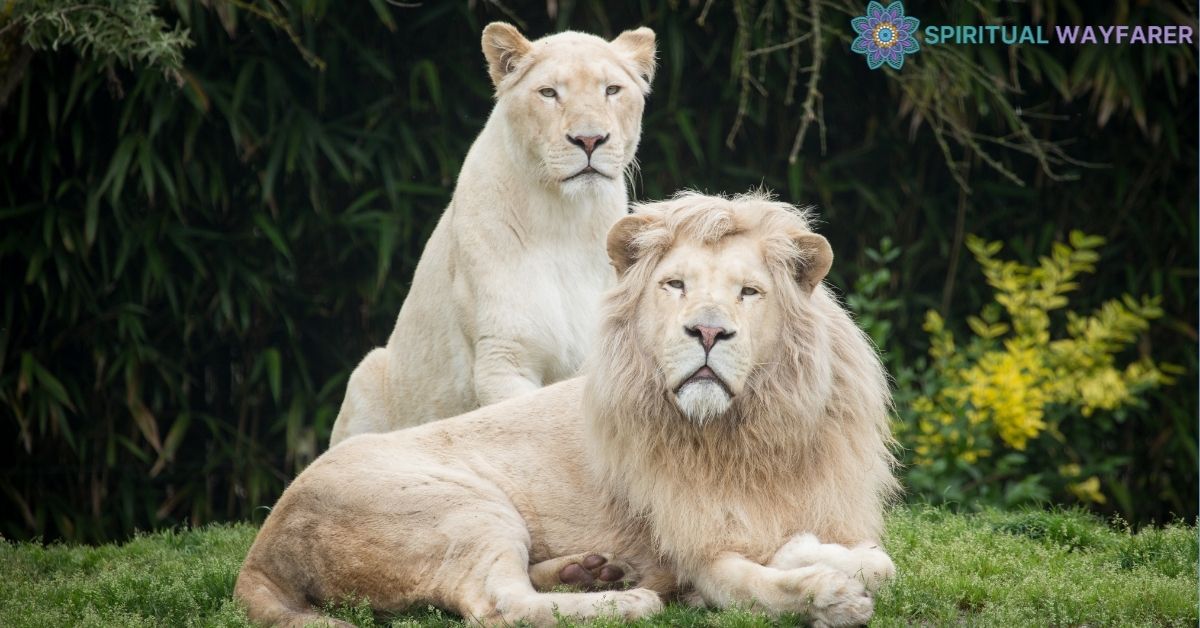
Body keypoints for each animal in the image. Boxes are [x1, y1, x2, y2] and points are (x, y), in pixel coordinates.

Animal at [236, 192, 899, 627]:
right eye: (675, 285)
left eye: (749, 292)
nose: (708, 331)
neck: (751, 431)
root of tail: (263, 547)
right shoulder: (697, 556)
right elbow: (757, 583)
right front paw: (829, 594)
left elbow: (873, 560)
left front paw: (829, 556)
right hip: (468, 507)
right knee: (498, 605)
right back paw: (629, 600)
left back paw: (594, 572)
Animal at [328, 23, 657, 445]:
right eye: (549, 93)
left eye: (611, 90)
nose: (589, 140)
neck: (566, 220)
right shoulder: (502, 358)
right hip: (367, 373)